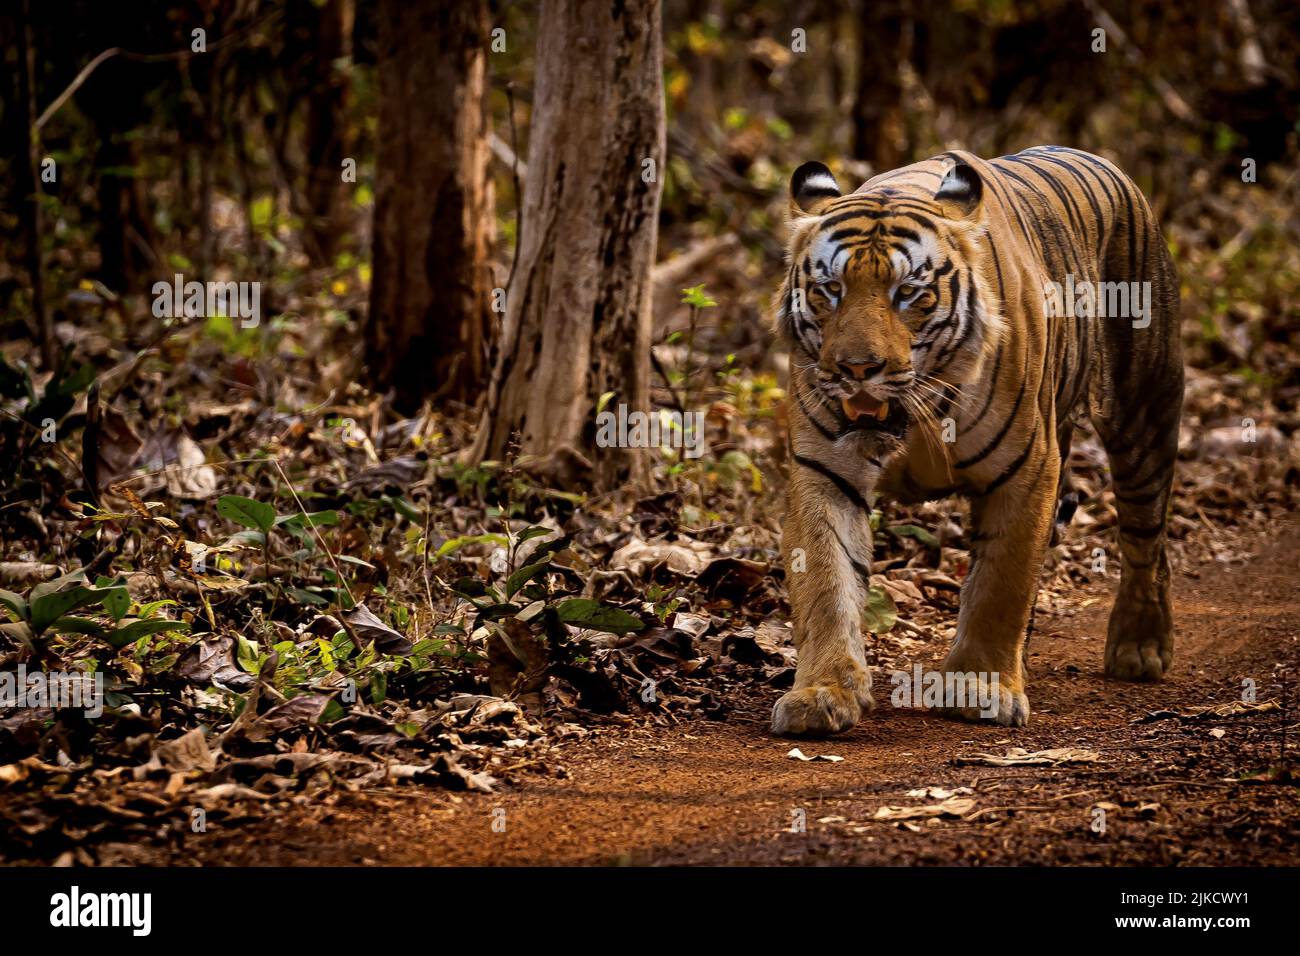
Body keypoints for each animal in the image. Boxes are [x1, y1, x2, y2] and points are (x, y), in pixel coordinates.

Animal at [771, 146, 1183, 736]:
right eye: (830, 290)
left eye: (908, 294)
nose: (857, 369)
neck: (916, 415)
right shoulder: (824, 471)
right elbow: (827, 584)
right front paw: (821, 694)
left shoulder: (1027, 470)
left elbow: (1000, 586)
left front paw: (982, 688)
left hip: (1143, 412)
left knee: (1146, 536)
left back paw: (1141, 646)